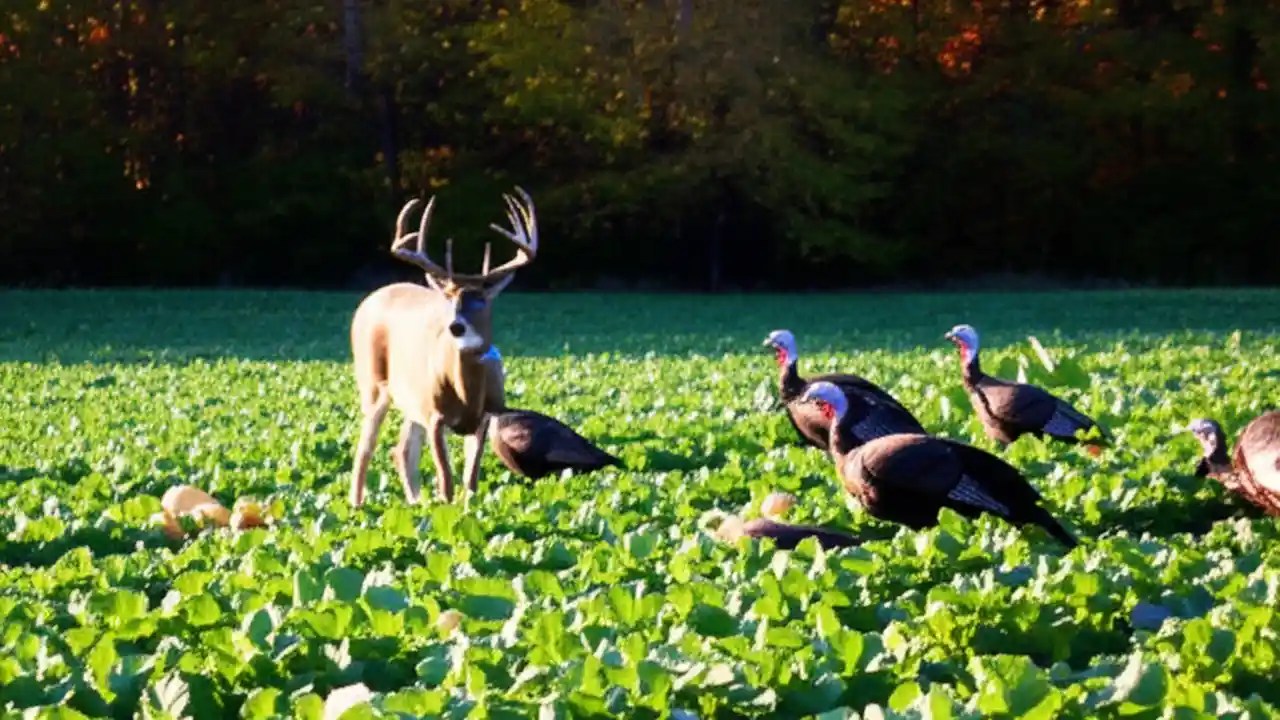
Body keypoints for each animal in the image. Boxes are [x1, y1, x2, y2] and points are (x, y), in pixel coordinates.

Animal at [349, 187, 539, 506]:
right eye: (449, 297)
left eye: (480, 299)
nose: (455, 326)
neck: (467, 393)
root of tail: (369, 300)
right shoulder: (434, 415)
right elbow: (446, 482)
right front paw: (446, 511)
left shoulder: (485, 417)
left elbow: (470, 481)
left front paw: (468, 509)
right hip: (373, 384)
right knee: (365, 448)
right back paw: (357, 505)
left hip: (411, 399)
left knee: (402, 450)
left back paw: (415, 503)